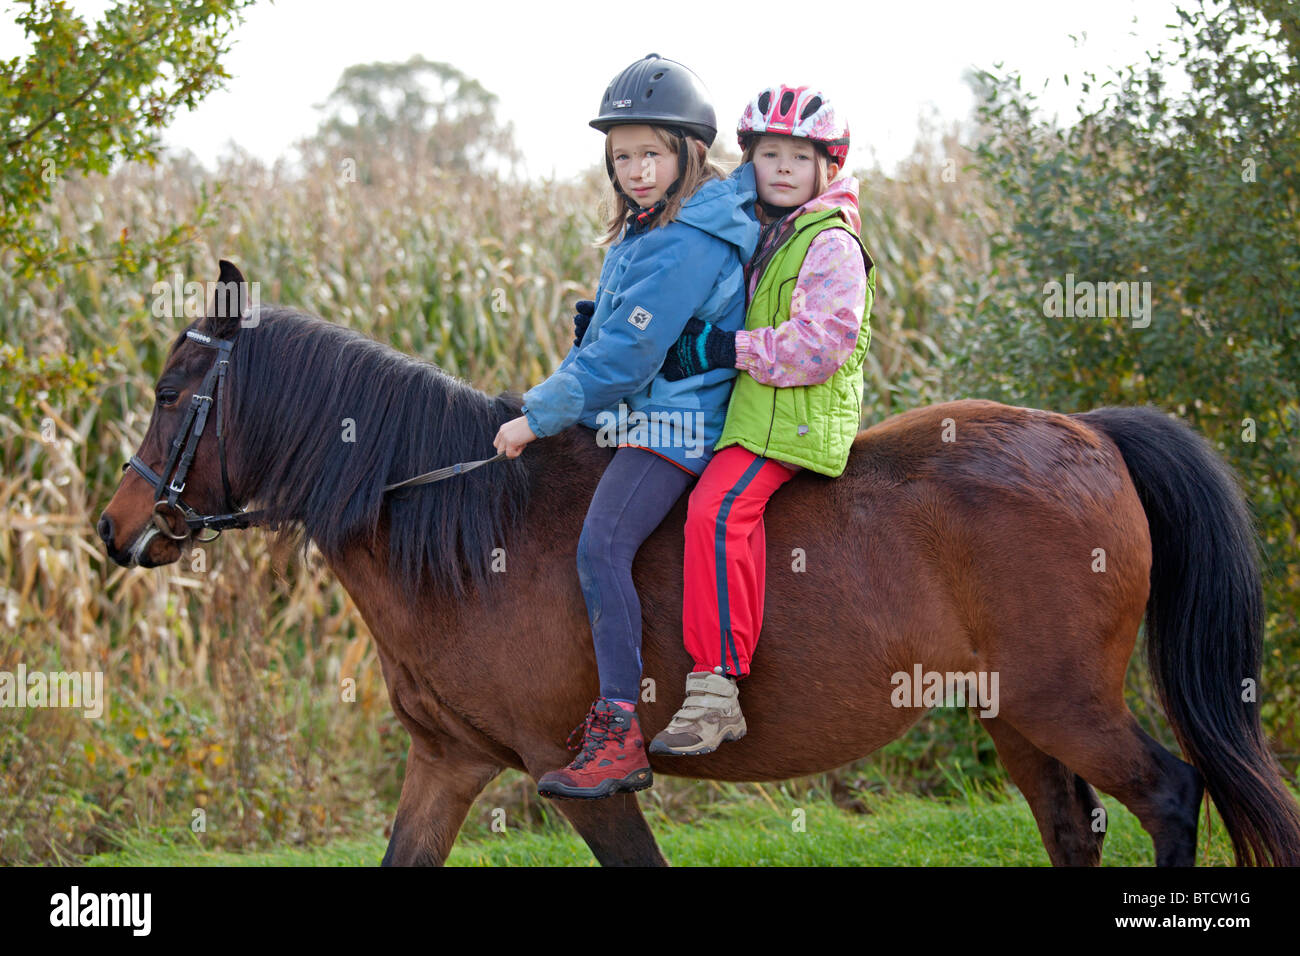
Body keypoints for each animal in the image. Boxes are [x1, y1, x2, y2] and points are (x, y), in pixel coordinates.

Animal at [98, 261, 1300, 866]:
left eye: (169, 393)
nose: (114, 528)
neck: (465, 528)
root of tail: (1088, 433)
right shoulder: (445, 764)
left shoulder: (576, 779)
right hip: (1017, 713)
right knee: (1069, 822)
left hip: (1066, 702)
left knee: (1171, 794)